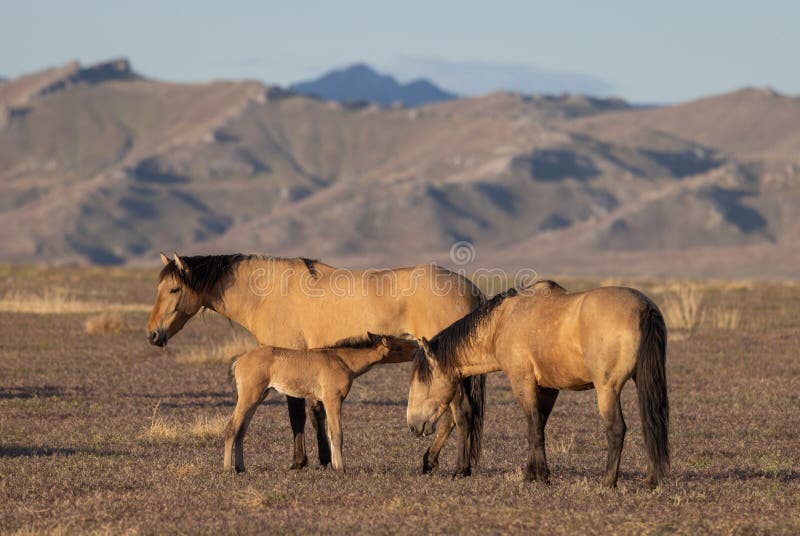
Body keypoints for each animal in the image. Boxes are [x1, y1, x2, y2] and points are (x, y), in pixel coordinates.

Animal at [225, 333, 419, 473]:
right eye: (398, 346)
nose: (417, 349)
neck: (342, 361)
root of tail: (240, 359)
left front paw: (334, 464)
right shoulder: (332, 400)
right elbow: (336, 433)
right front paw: (340, 467)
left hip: (258, 397)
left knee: (241, 430)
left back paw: (241, 467)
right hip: (249, 396)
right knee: (232, 427)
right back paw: (228, 468)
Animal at [406, 280, 669, 489]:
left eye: (421, 380)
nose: (413, 425)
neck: (503, 323)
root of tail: (644, 308)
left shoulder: (522, 382)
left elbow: (533, 427)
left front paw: (541, 476)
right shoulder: (548, 389)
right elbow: (539, 426)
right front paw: (531, 473)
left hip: (607, 390)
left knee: (616, 429)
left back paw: (608, 482)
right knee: (652, 423)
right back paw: (651, 481)